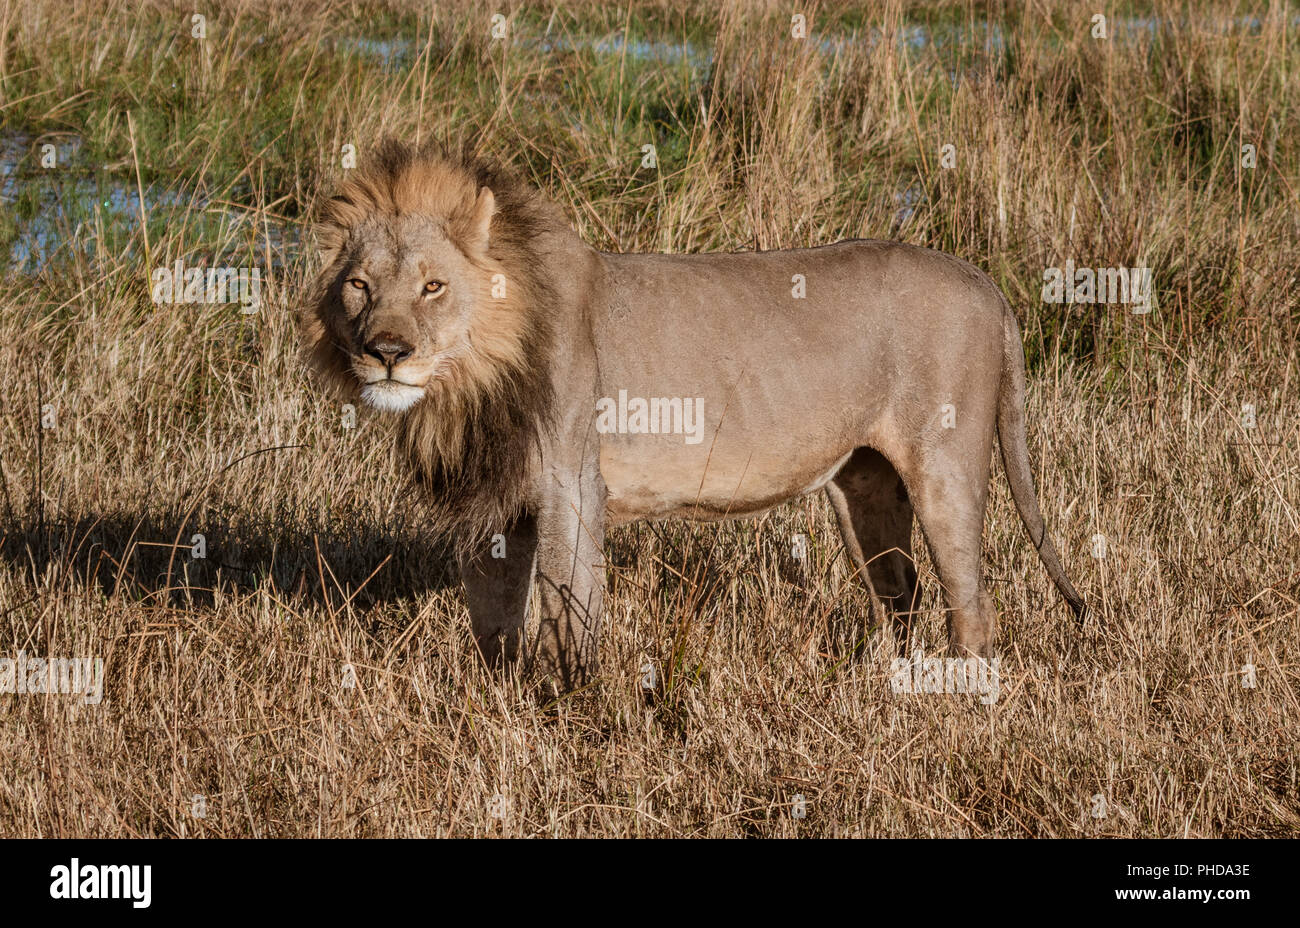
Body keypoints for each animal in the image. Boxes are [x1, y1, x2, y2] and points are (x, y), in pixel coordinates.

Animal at [302, 140, 1086, 689]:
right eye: (360, 287)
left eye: (433, 287)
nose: (386, 353)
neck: (471, 382)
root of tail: (986, 282)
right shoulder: (497, 498)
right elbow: (494, 617)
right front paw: (498, 702)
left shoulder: (570, 482)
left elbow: (567, 603)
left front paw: (567, 703)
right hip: (862, 483)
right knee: (899, 592)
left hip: (944, 466)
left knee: (971, 603)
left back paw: (955, 701)